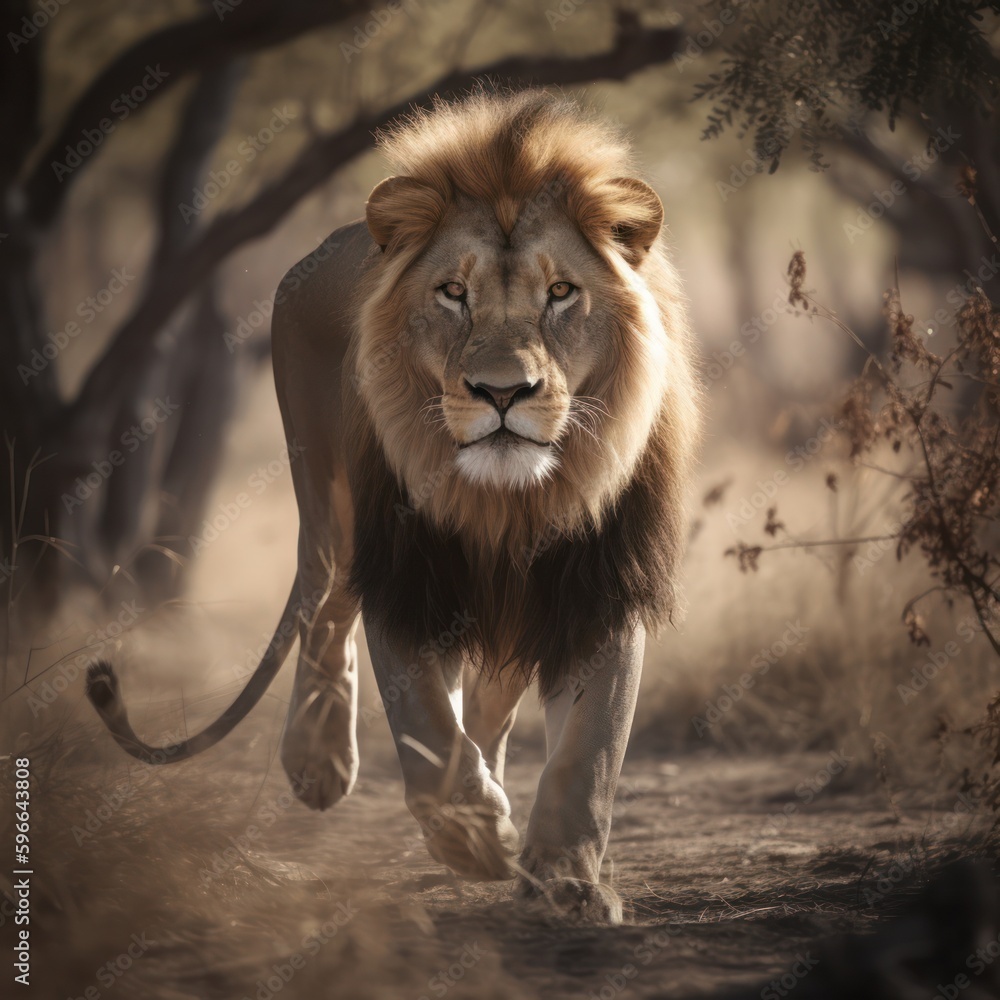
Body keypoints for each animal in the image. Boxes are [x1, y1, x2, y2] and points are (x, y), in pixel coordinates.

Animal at [87, 89, 700, 925]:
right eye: (453, 293)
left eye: (561, 293)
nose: (502, 392)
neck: (509, 504)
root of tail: (334, 241)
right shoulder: (408, 578)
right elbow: (428, 733)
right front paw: (475, 841)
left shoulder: (598, 585)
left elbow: (588, 752)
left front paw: (568, 881)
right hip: (331, 505)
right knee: (325, 612)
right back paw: (318, 763)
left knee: (489, 701)